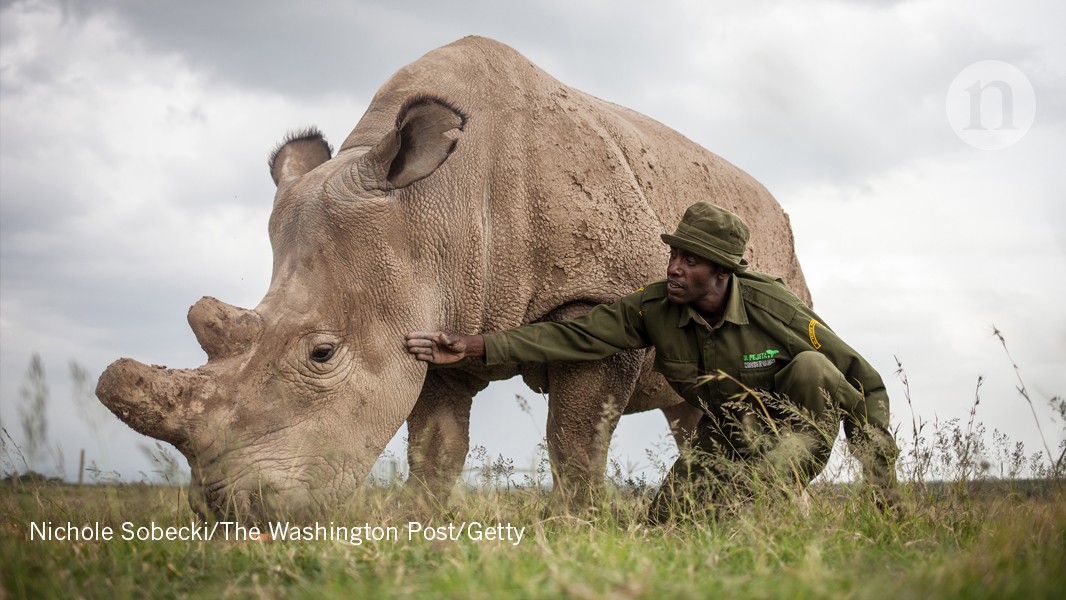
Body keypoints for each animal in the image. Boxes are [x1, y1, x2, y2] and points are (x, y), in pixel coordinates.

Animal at [96, 36, 810, 521]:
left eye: (322, 354)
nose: (228, 510)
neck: (437, 202)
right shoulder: (433, 309)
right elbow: (436, 444)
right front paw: (418, 524)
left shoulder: (598, 295)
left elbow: (575, 436)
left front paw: (575, 526)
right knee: (694, 409)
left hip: (781, 254)